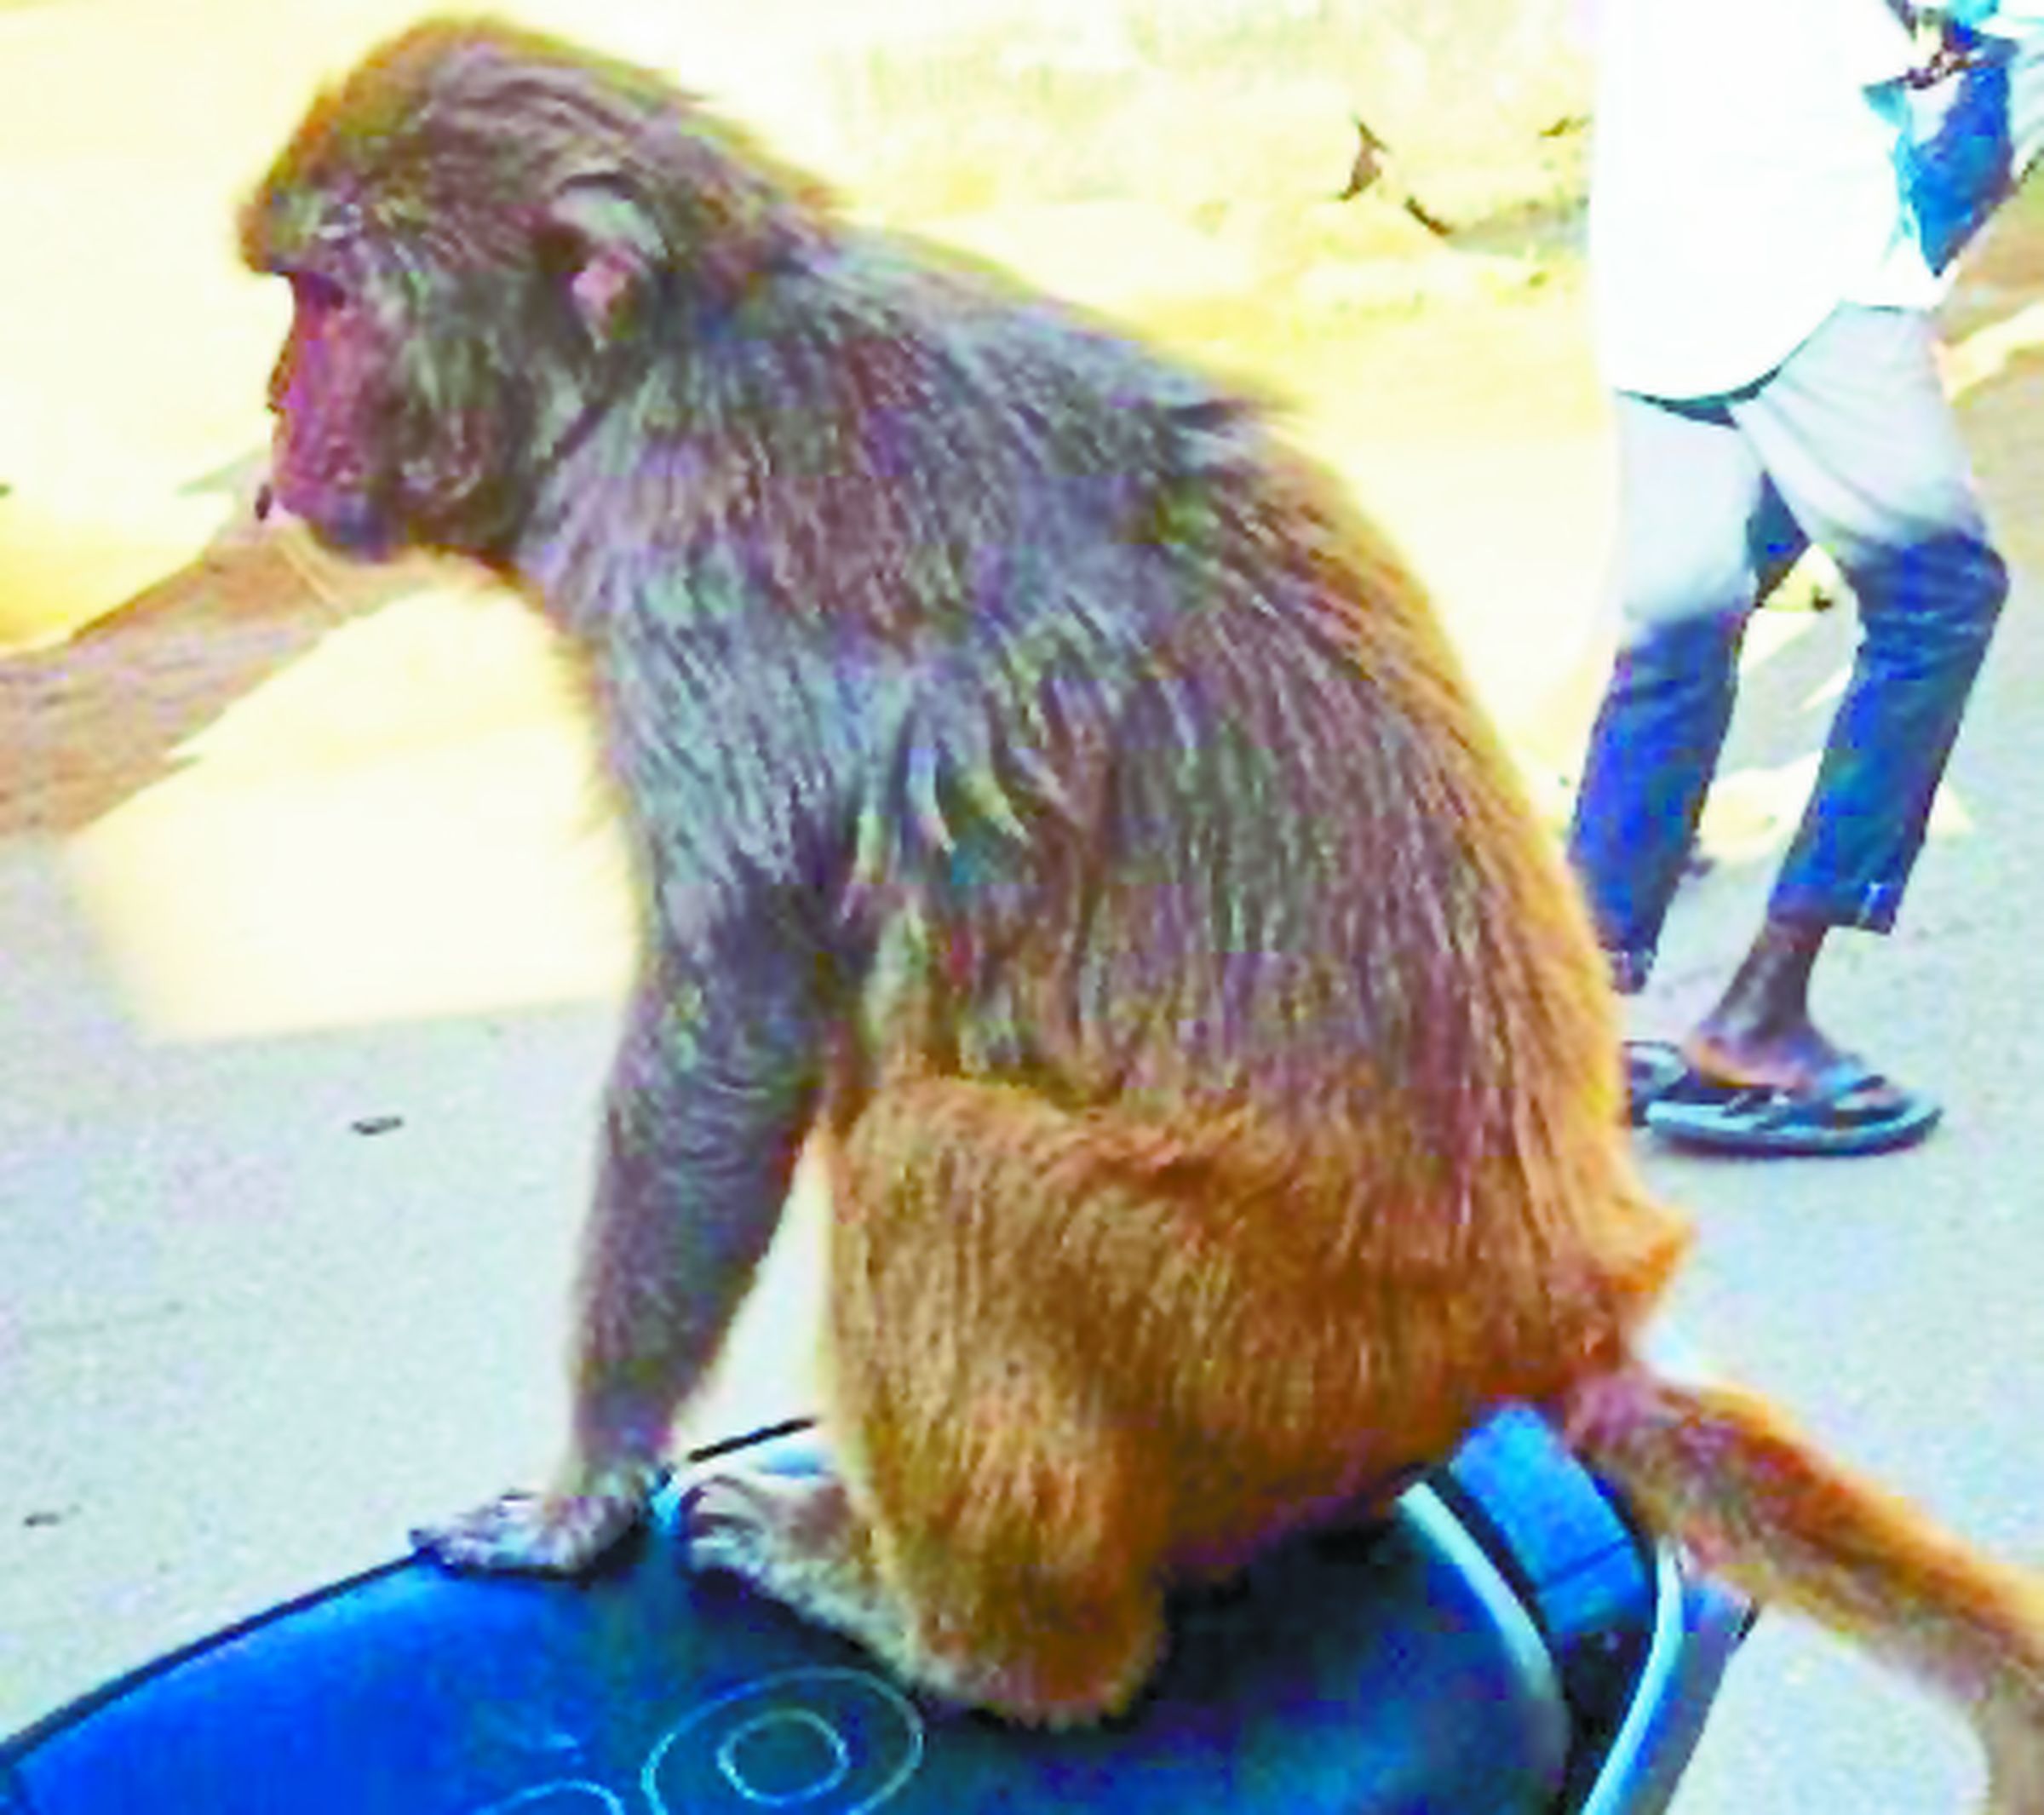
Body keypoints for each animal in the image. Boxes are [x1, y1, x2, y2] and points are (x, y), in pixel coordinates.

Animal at [240, 19, 2044, 1803]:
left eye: (325, 304)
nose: (268, 416)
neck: (672, 354)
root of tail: (1549, 1316)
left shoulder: (691, 588)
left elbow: (727, 1026)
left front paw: (582, 1488)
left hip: (1270, 1350)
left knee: (938, 1166)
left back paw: (985, 1647)